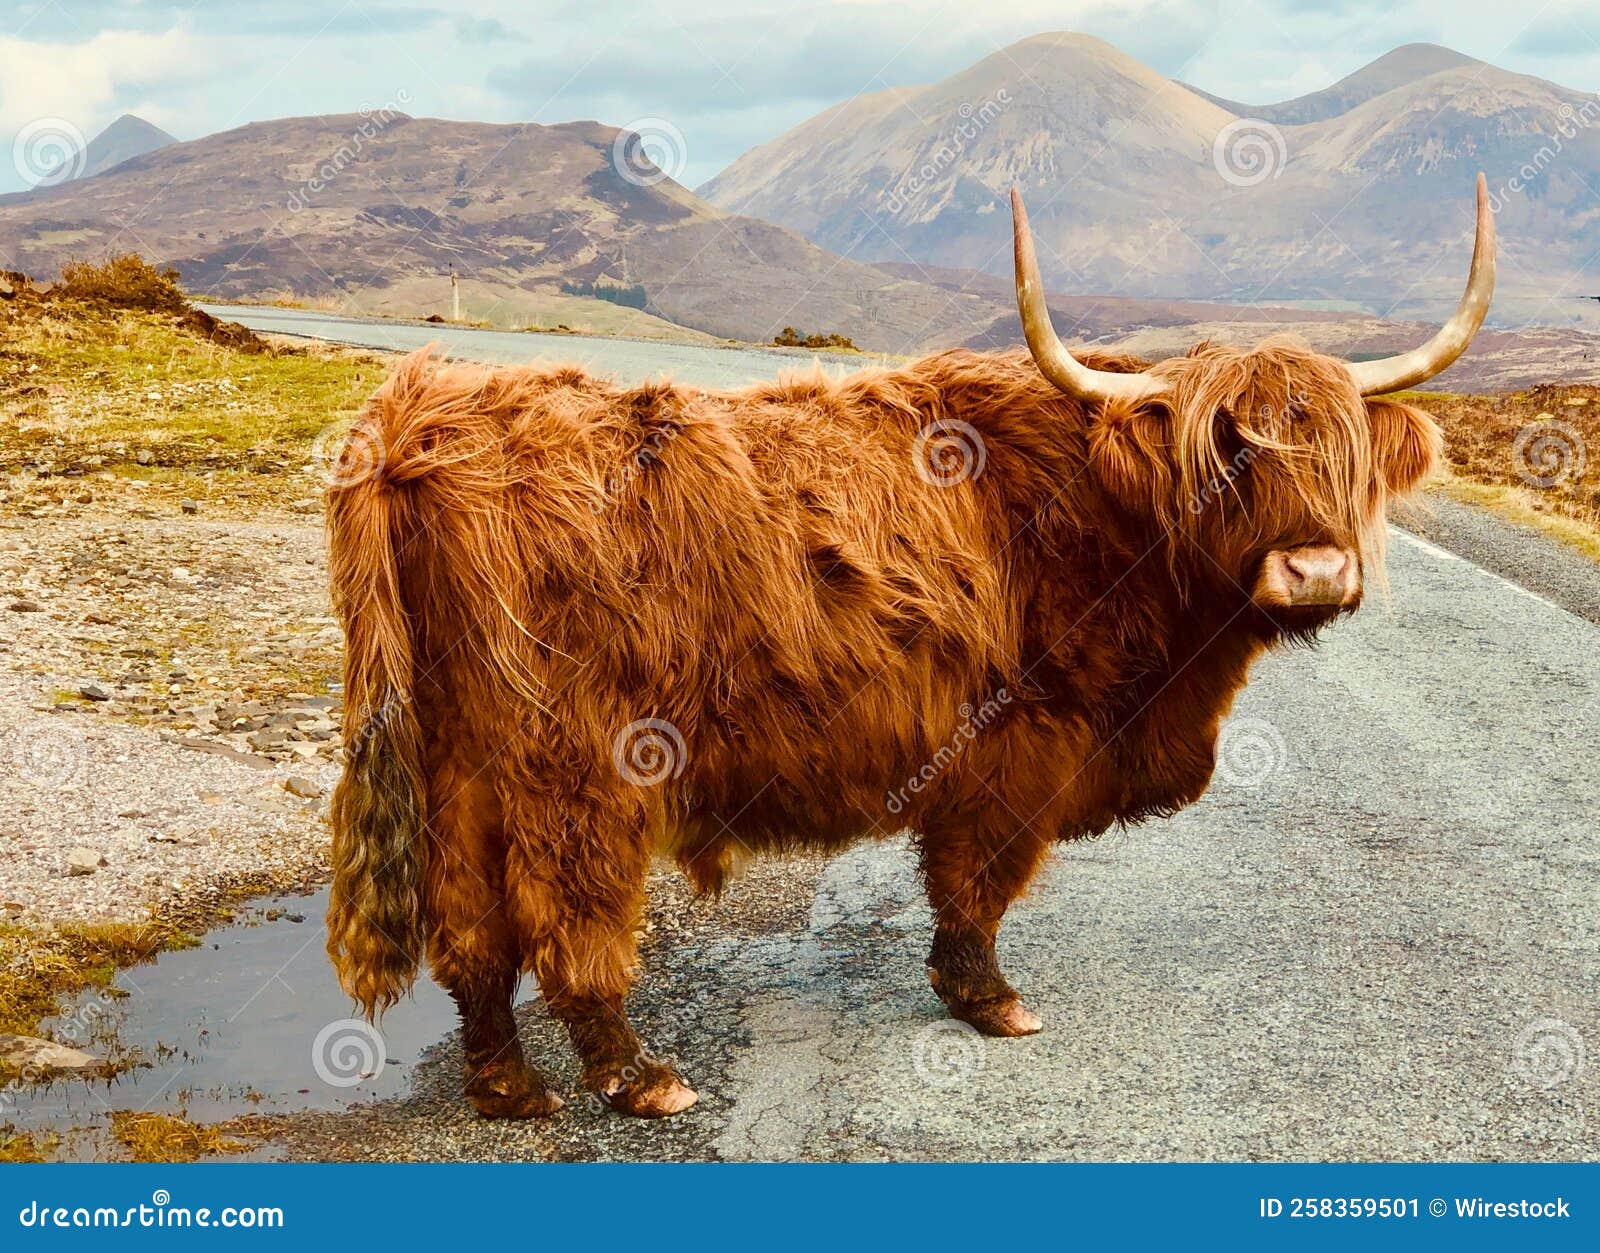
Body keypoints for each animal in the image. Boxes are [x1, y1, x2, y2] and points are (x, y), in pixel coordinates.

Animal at [325, 176, 1495, 1119]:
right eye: (1227, 450)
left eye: (1340, 452)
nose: (1316, 570)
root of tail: (421, 418)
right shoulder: (1021, 737)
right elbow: (978, 876)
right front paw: (989, 999)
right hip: (575, 764)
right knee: (566, 918)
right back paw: (637, 1074)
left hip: (459, 760)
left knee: (470, 928)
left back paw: (506, 1085)